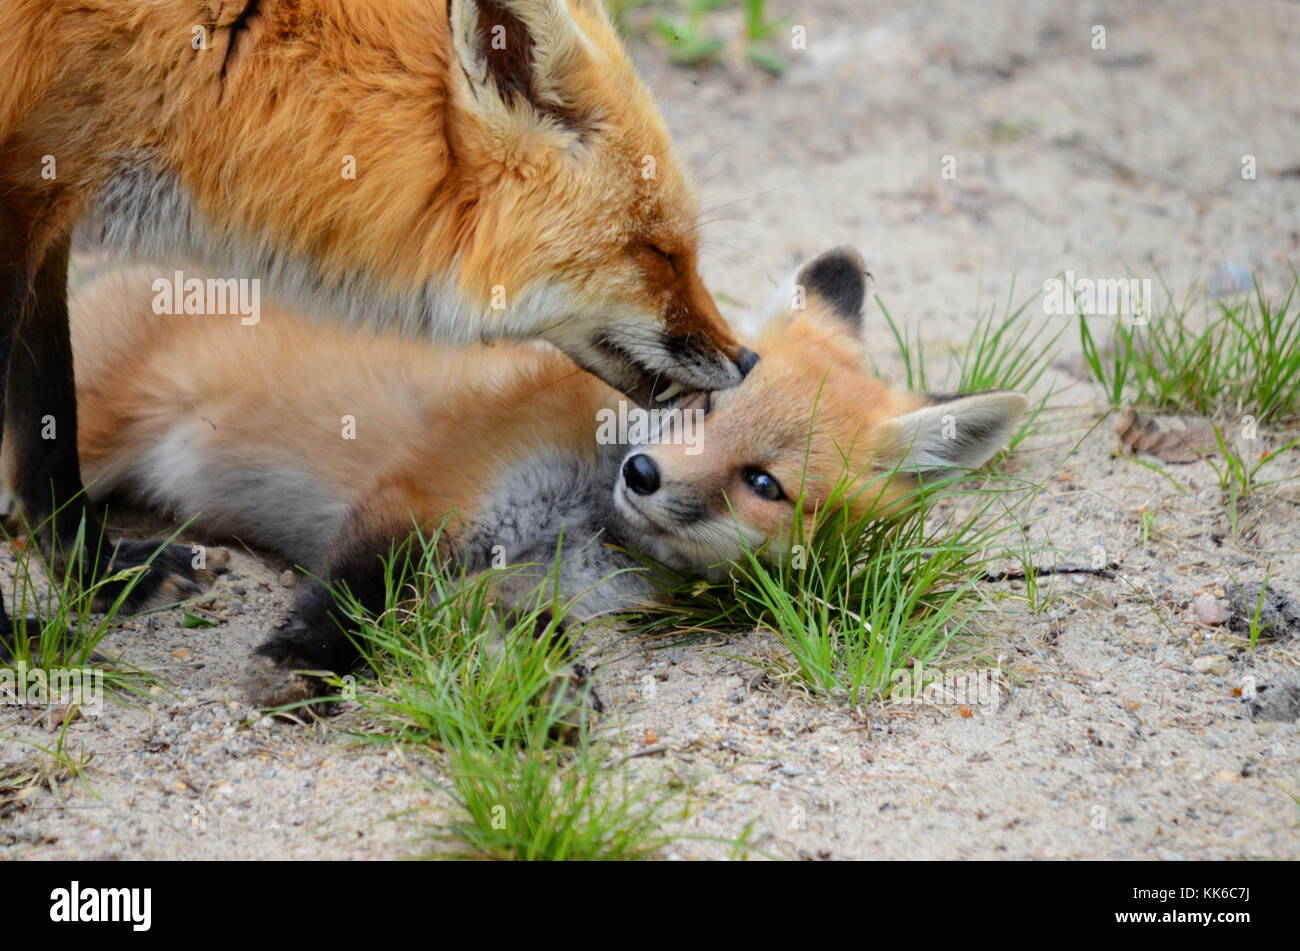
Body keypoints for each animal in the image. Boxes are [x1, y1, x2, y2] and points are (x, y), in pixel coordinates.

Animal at [0, 0, 754, 641]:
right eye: (660, 250)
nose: (746, 361)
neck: (222, 56)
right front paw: (21, 637)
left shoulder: (46, 189)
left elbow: (47, 426)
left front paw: (96, 574)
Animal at [66, 246, 1026, 708]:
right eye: (707, 403)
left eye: (764, 485)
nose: (643, 473)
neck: (582, 515)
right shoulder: (428, 499)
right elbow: (351, 595)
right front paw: (300, 663)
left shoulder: (529, 585)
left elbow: (540, 636)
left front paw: (555, 694)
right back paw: (121, 577)